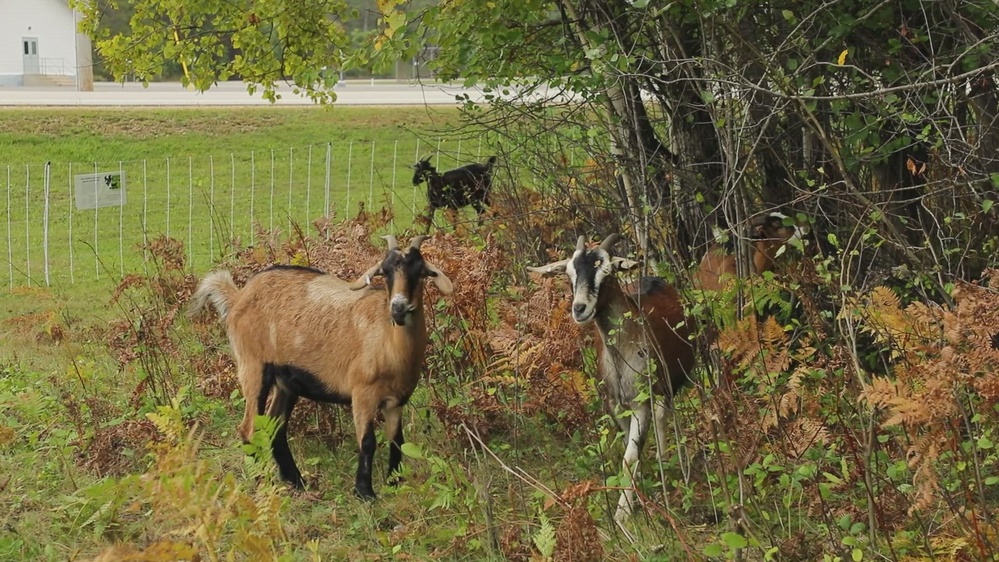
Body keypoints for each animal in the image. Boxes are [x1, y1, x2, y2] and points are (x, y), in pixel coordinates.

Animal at [188, 235, 454, 500]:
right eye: (385, 272)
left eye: (419, 272)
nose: (398, 308)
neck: (389, 342)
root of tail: (238, 297)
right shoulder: (362, 393)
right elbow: (367, 441)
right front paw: (365, 492)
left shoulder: (397, 399)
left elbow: (398, 441)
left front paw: (395, 484)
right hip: (253, 366)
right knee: (249, 428)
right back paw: (261, 481)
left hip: (286, 382)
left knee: (276, 428)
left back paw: (296, 481)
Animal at [528, 234, 696, 523]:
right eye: (569, 274)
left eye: (606, 272)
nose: (580, 308)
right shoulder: (616, 407)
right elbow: (630, 451)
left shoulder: (641, 404)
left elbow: (630, 456)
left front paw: (622, 514)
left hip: (669, 386)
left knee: (664, 417)